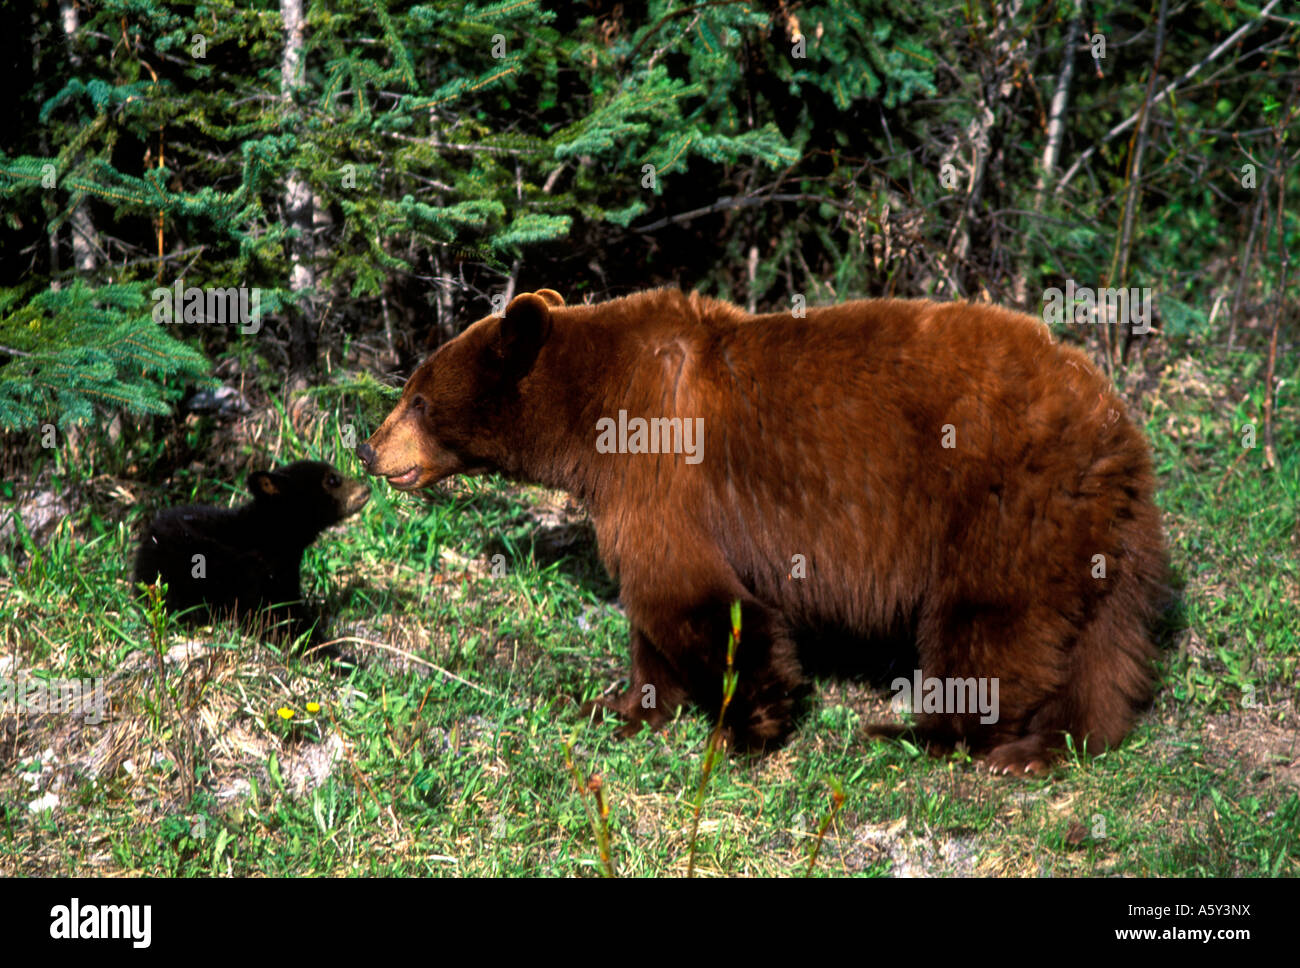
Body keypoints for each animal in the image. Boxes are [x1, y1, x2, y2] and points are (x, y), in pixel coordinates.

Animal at [357, 287, 1169, 775]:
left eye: (418, 398)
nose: (368, 448)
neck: (591, 410)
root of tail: (1112, 427)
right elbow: (652, 618)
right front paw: (620, 706)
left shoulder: (659, 475)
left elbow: (694, 599)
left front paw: (745, 727)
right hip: (1102, 543)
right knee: (1105, 654)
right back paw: (1051, 744)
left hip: (1000, 507)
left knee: (986, 629)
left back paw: (924, 734)